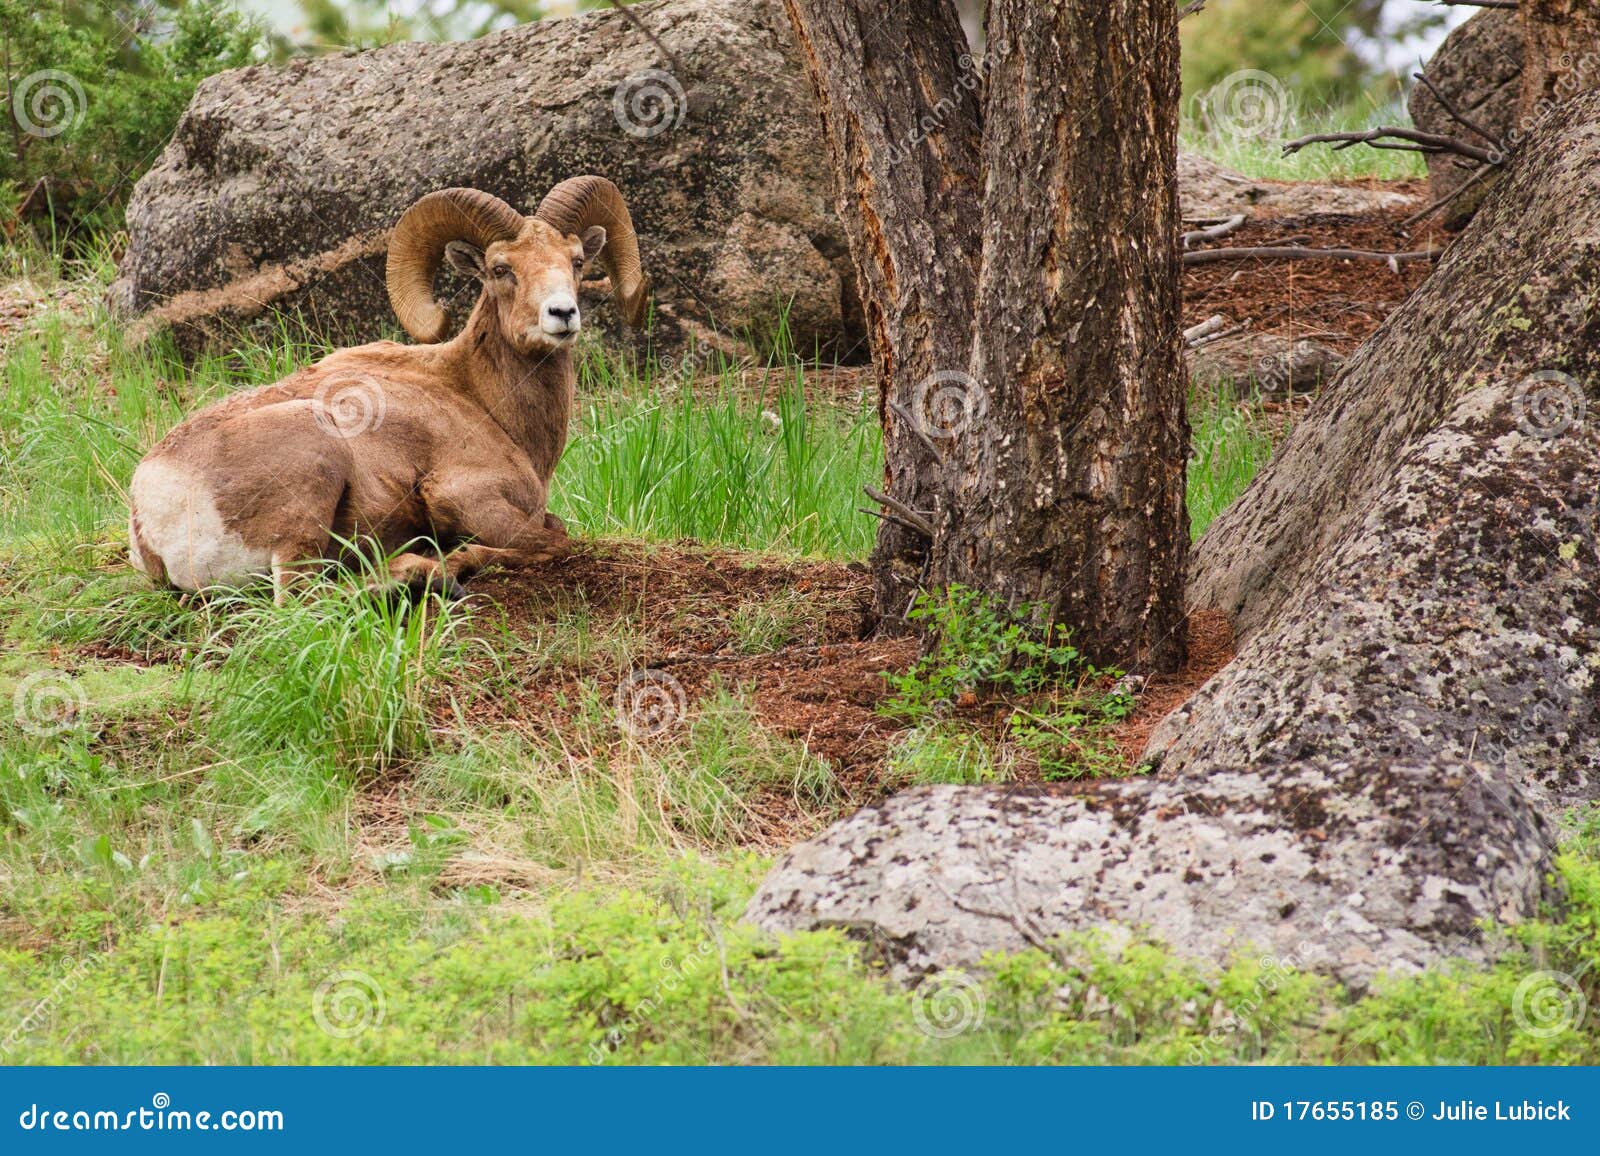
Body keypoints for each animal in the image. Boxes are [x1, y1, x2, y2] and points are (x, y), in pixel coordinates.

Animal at [127, 176, 650, 601]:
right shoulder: (465, 495)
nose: (562, 314)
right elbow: (553, 537)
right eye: (502, 269)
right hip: (310, 478)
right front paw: (454, 559)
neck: (482, 402)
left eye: (576, 261)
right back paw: (425, 574)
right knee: (302, 598)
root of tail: (151, 514)